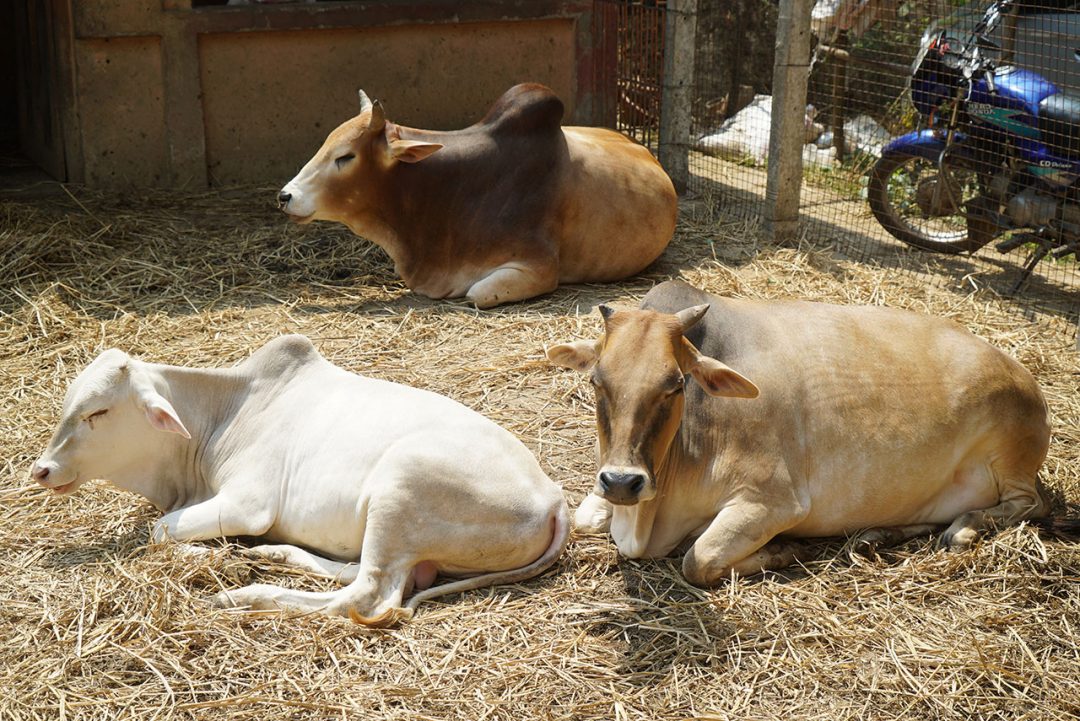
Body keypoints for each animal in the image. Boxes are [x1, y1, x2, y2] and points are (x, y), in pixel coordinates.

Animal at [30, 335, 569, 625]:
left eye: (98, 412)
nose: (42, 469)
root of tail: (553, 497)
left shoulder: (248, 504)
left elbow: (160, 531)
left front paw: (209, 560)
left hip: (400, 487)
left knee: (367, 593)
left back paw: (244, 594)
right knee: (367, 573)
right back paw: (274, 554)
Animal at [546, 279, 1052, 586]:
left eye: (675, 384)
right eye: (597, 380)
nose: (622, 482)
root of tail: (1020, 370)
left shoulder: (774, 501)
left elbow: (699, 558)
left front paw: (787, 549)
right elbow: (585, 517)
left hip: (1010, 460)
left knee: (1028, 505)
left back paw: (962, 530)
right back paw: (877, 536)